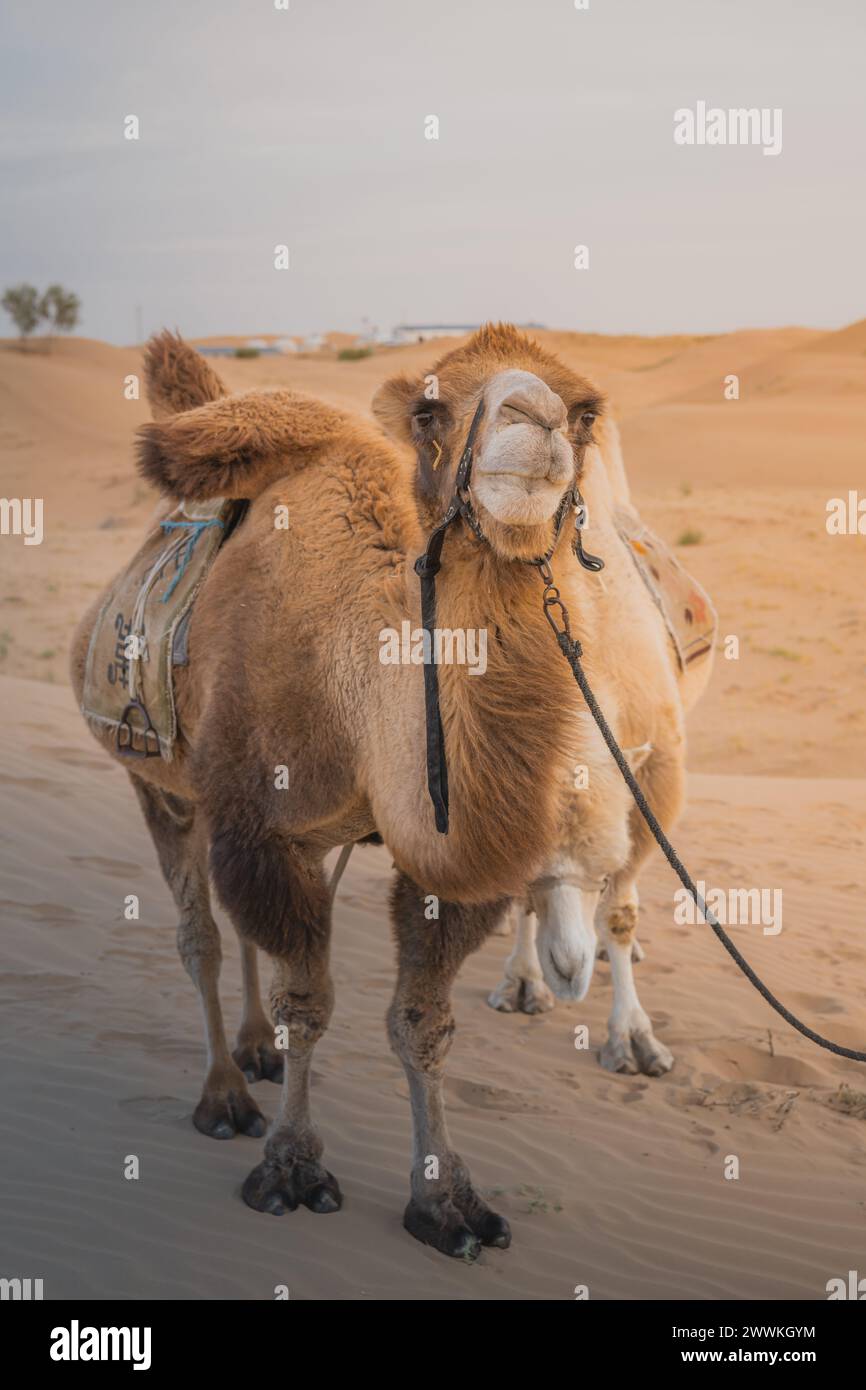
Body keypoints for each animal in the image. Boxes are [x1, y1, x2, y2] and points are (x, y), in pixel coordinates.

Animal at [71, 324, 663, 1260]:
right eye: (429, 410)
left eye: (584, 412)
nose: (532, 420)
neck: (360, 684)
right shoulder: (261, 827)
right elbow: (308, 1003)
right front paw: (290, 1168)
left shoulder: (427, 863)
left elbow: (420, 1022)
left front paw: (446, 1201)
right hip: (160, 785)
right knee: (201, 938)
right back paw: (224, 1094)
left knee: (243, 938)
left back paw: (256, 1054)